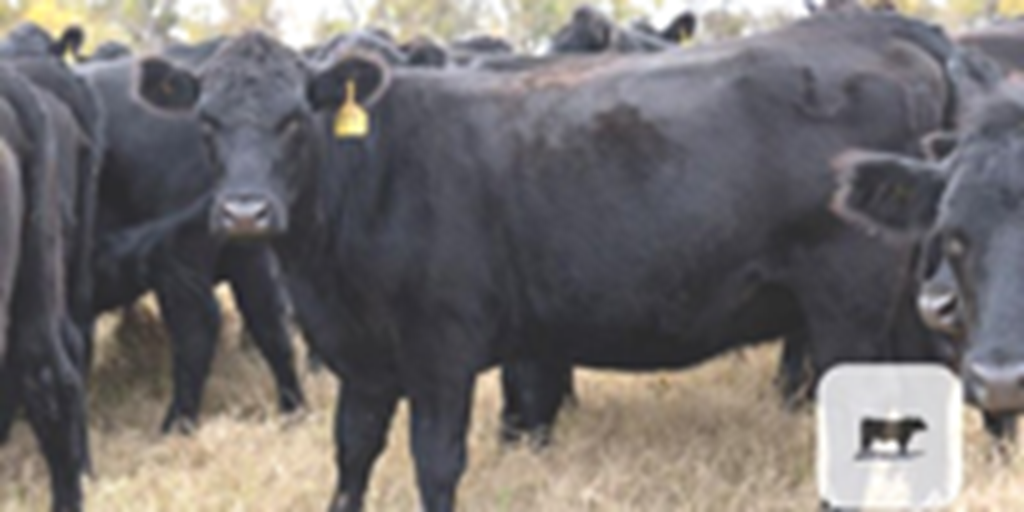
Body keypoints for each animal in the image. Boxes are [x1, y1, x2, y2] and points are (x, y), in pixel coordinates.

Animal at [132, 10, 965, 511]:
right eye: (206, 122)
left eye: (294, 119)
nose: (245, 212)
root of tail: (873, 30)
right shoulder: (363, 358)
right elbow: (352, 453)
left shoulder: (443, 346)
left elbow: (436, 459)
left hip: (849, 304)